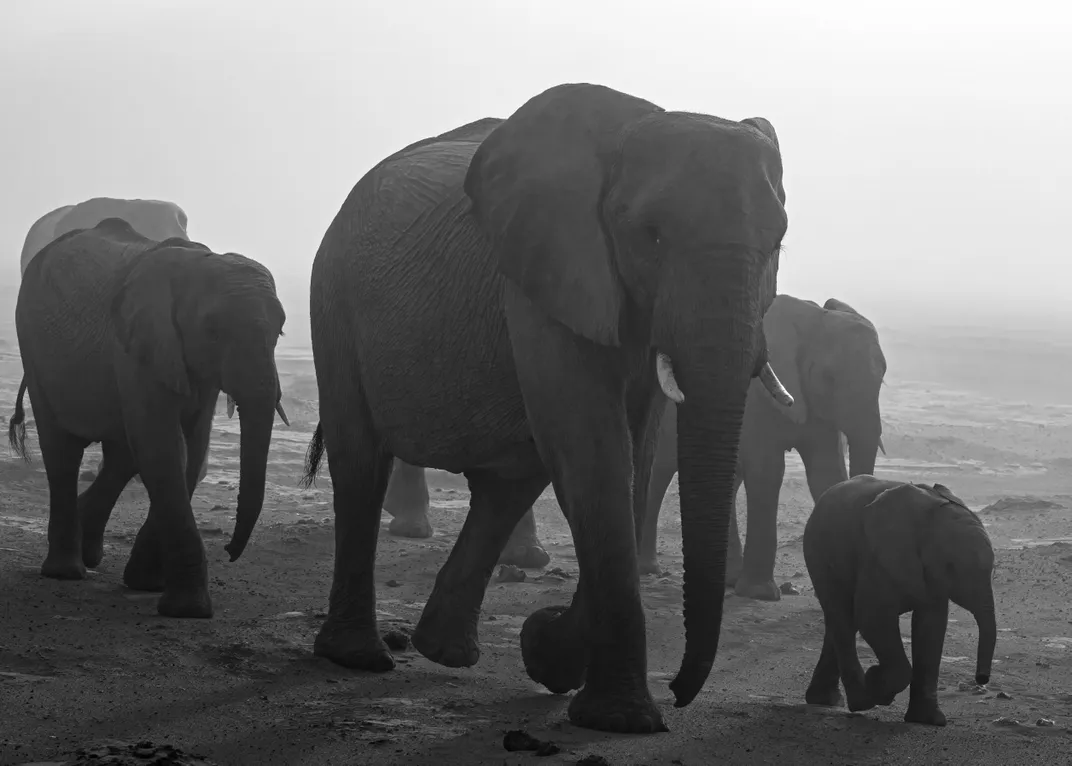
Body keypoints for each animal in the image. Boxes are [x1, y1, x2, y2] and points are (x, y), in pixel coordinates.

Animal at [300, 82, 793, 733]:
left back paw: (447, 651)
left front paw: (553, 659)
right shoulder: (548, 272)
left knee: (511, 480)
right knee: (361, 461)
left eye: (778, 242)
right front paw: (620, 719)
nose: (681, 694)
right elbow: (595, 451)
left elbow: (632, 456)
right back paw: (360, 659)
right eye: (652, 236)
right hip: (333, 296)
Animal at [638, 294, 887, 598]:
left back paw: (728, 579)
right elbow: (768, 471)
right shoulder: (755, 396)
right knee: (661, 469)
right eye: (828, 378)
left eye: (882, 377)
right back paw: (649, 569)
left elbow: (826, 474)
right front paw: (760, 594)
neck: (812, 319)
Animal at [802, 475, 996, 726]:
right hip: (819, 552)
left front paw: (929, 721)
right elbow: (874, 618)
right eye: (951, 567)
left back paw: (827, 700)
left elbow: (931, 626)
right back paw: (860, 701)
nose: (981, 678)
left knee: (841, 621)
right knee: (842, 615)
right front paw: (877, 684)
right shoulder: (878, 557)